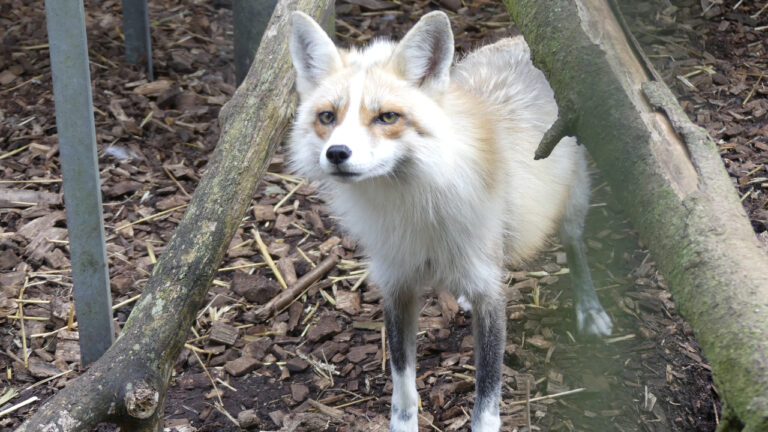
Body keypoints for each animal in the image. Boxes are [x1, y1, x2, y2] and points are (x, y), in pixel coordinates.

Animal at [288, 10, 612, 432]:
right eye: (327, 117)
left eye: (386, 117)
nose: (337, 153)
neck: (416, 207)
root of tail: (521, 40)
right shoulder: (397, 284)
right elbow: (402, 386)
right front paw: (403, 423)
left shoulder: (489, 291)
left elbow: (487, 398)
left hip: (572, 202)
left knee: (575, 247)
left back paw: (589, 309)